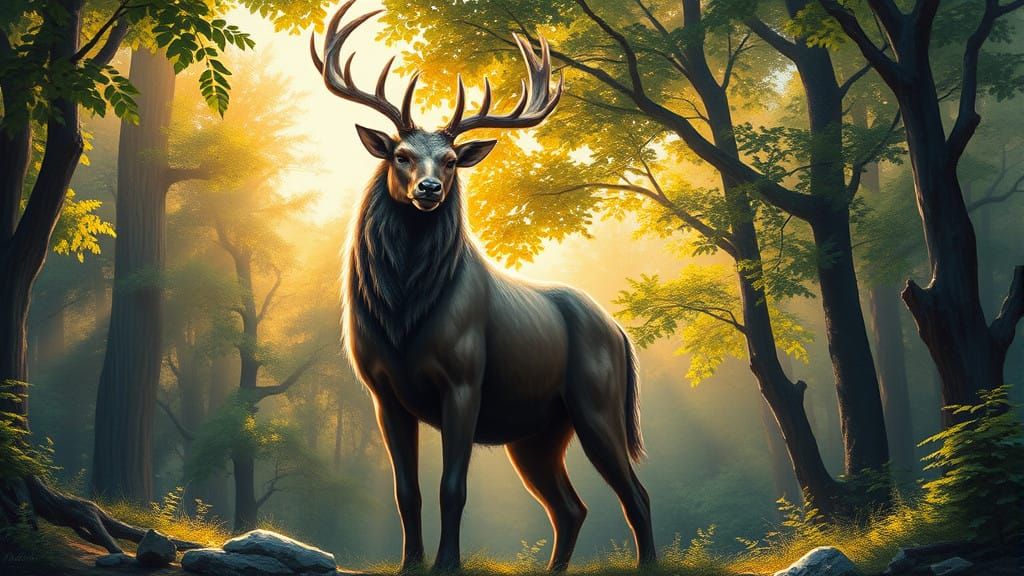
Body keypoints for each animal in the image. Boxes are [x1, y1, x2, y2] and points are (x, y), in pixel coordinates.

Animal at [310, 1, 656, 572]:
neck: (403, 317)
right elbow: (407, 491)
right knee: (570, 507)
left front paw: (447, 562)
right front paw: (411, 563)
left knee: (636, 494)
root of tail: (621, 333)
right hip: (539, 432)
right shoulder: (383, 391)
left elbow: (453, 487)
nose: (430, 188)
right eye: (401, 154)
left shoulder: (464, 379)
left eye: (451, 160)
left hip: (597, 405)